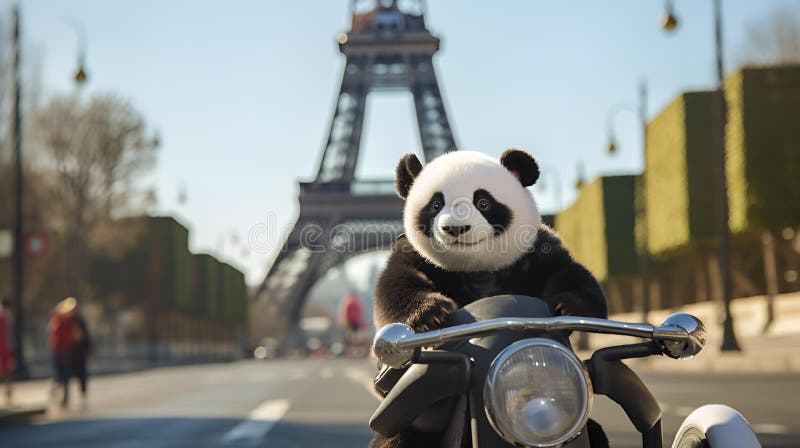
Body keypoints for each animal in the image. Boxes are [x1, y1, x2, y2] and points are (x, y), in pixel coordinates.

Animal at [370, 149, 609, 448]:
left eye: (482, 202)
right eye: (436, 204)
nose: (456, 228)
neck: (475, 269)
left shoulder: (533, 251)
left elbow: (569, 273)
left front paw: (571, 305)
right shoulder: (412, 254)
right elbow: (395, 285)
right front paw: (430, 313)